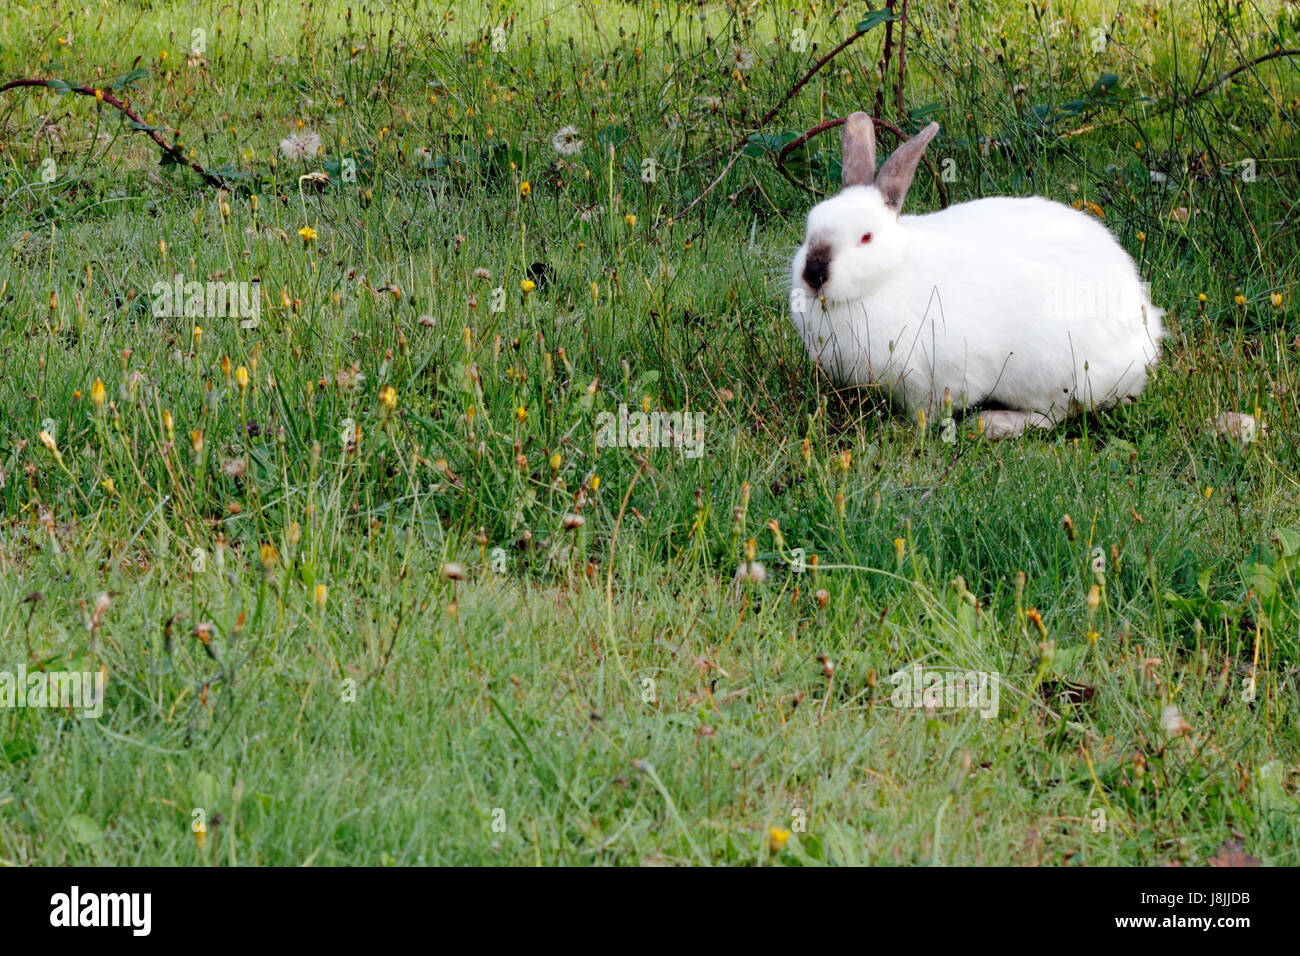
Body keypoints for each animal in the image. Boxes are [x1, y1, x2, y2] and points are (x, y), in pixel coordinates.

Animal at [789, 112, 1164, 438]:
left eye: (866, 237)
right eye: (810, 224)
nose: (813, 274)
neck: (886, 278)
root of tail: (1144, 342)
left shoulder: (934, 378)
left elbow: (927, 410)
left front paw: (902, 429)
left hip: (1054, 373)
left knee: (1053, 415)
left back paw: (995, 424)